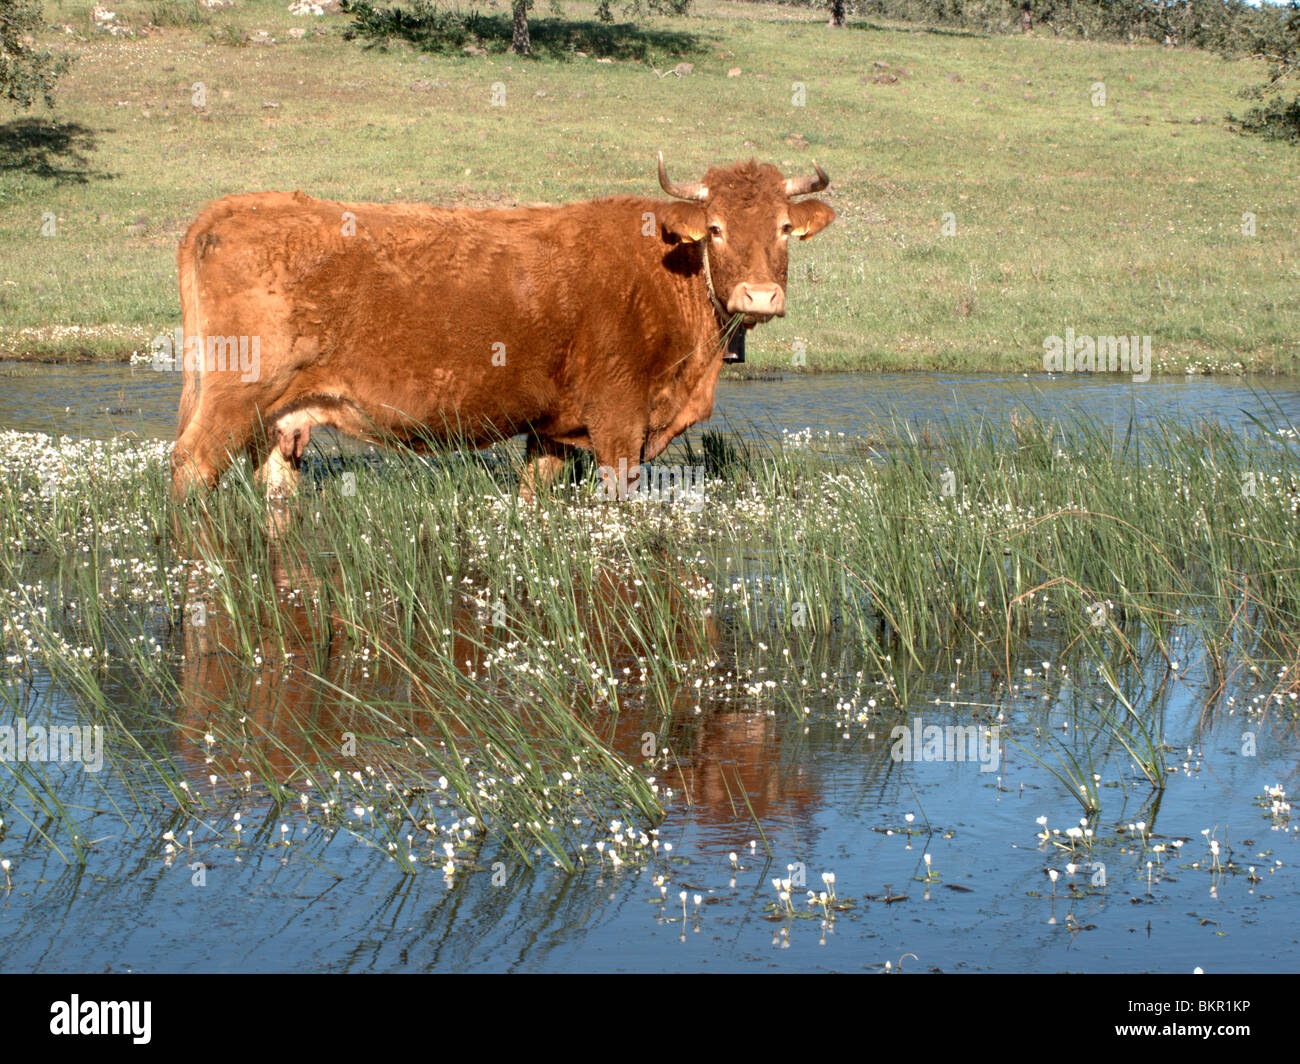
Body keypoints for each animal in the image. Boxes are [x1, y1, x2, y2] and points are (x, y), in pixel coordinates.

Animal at [170, 155, 834, 503]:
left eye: (783, 227)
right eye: (716, 228)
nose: (759, 294)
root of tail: (224, 211)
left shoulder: (552, 431)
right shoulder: (619, 424)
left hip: (280, 420)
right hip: (234, 398)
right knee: (190, 466)